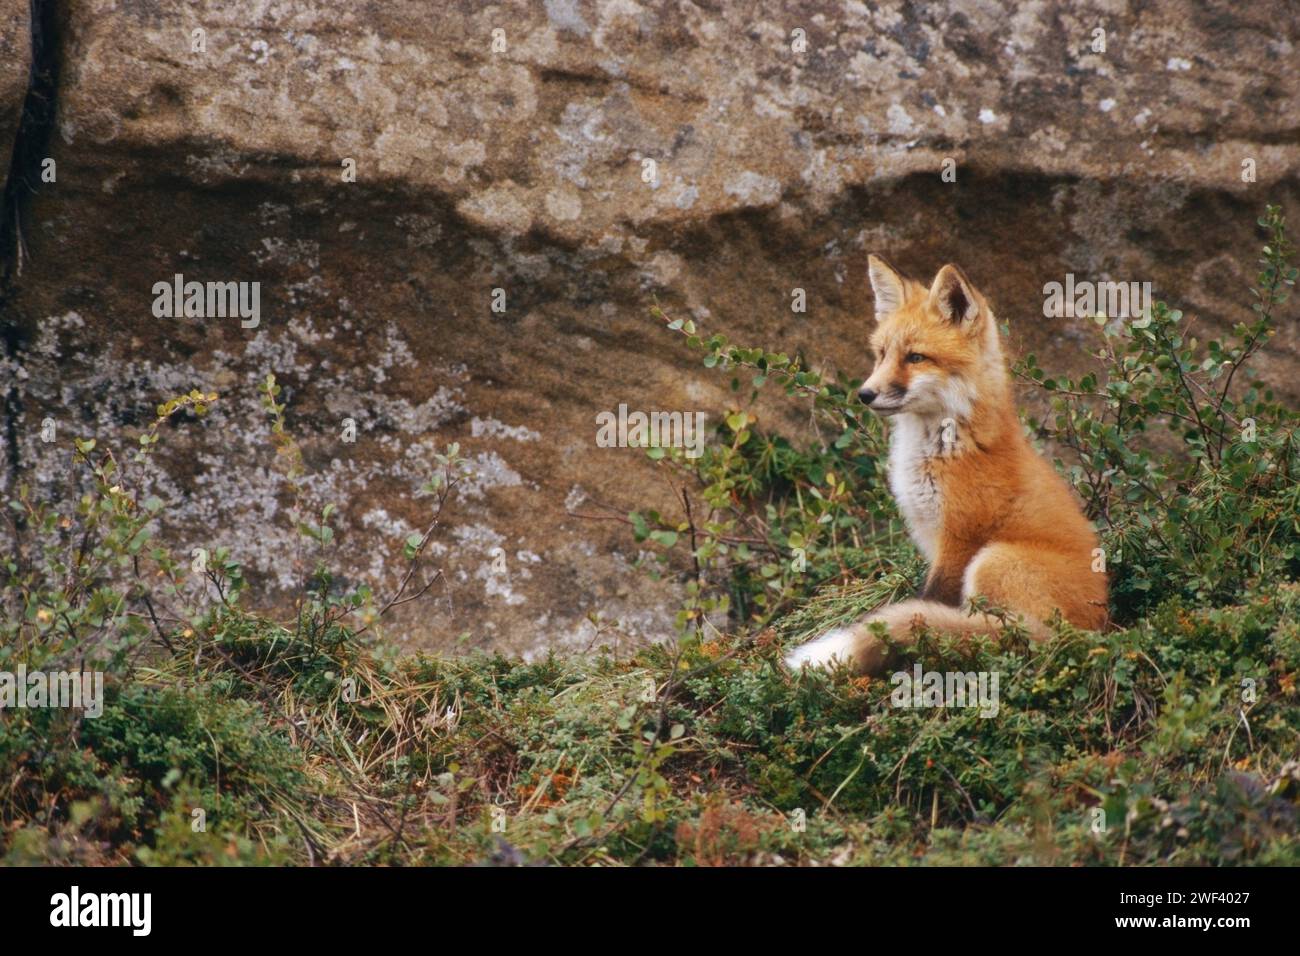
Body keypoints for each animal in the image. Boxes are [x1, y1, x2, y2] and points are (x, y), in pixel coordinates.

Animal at [784, 255, 1108, 674]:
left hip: (992, 561)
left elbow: (928, 602)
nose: (864, 394)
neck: (940, 449)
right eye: (881, 353)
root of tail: (1091, 634)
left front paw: (918, 639)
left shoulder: (958, 537)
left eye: (915, 357)